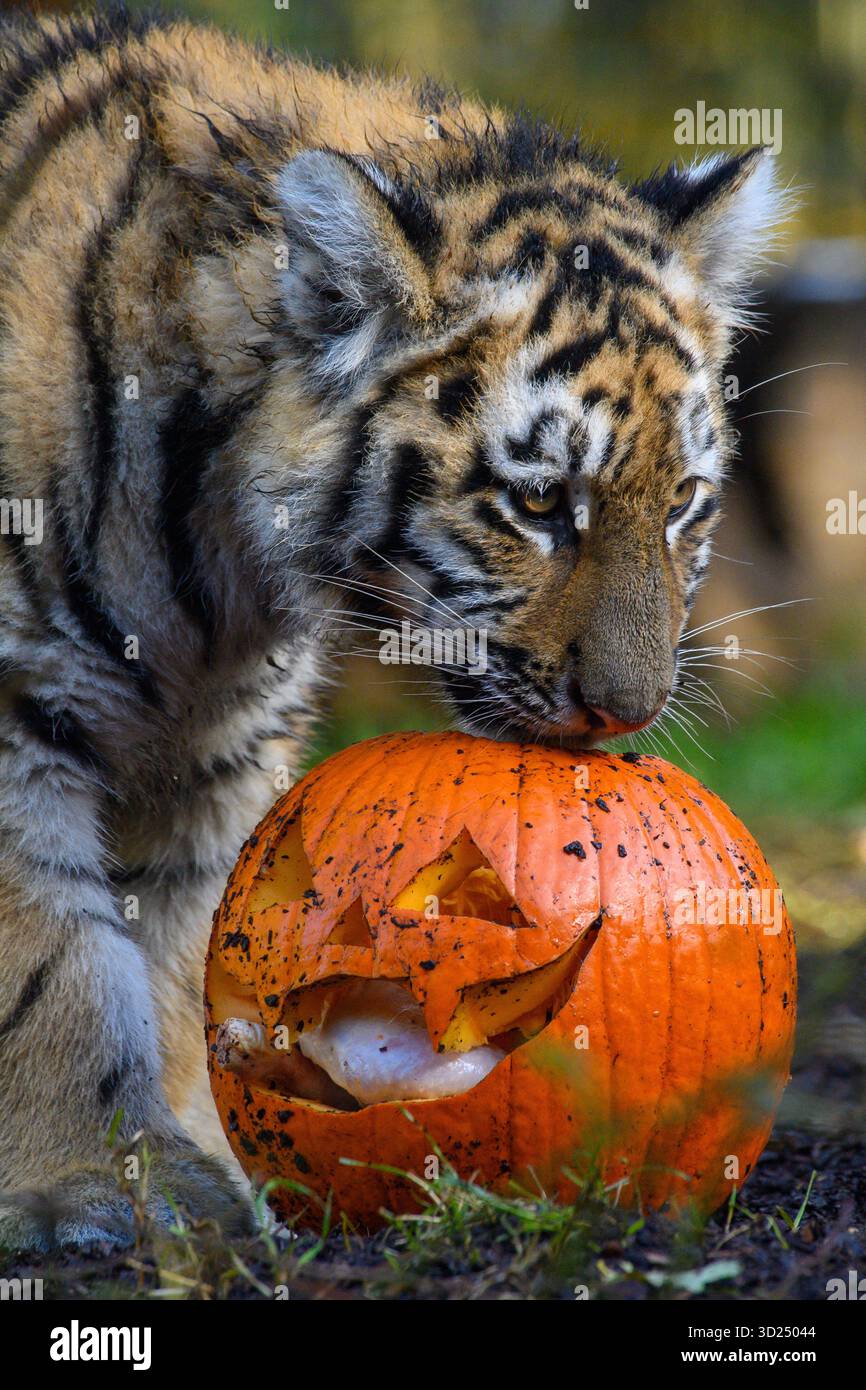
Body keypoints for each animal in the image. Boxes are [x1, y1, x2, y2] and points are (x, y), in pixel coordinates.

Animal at [0, 5, 786, 1250]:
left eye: (680, 504)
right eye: (538, 504)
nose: (631, 710)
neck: (213, 564)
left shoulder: (213, 743)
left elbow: (174, 949)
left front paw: (204, 1161)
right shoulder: (20, 698)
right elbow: (48, 958)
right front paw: (79, 1182)